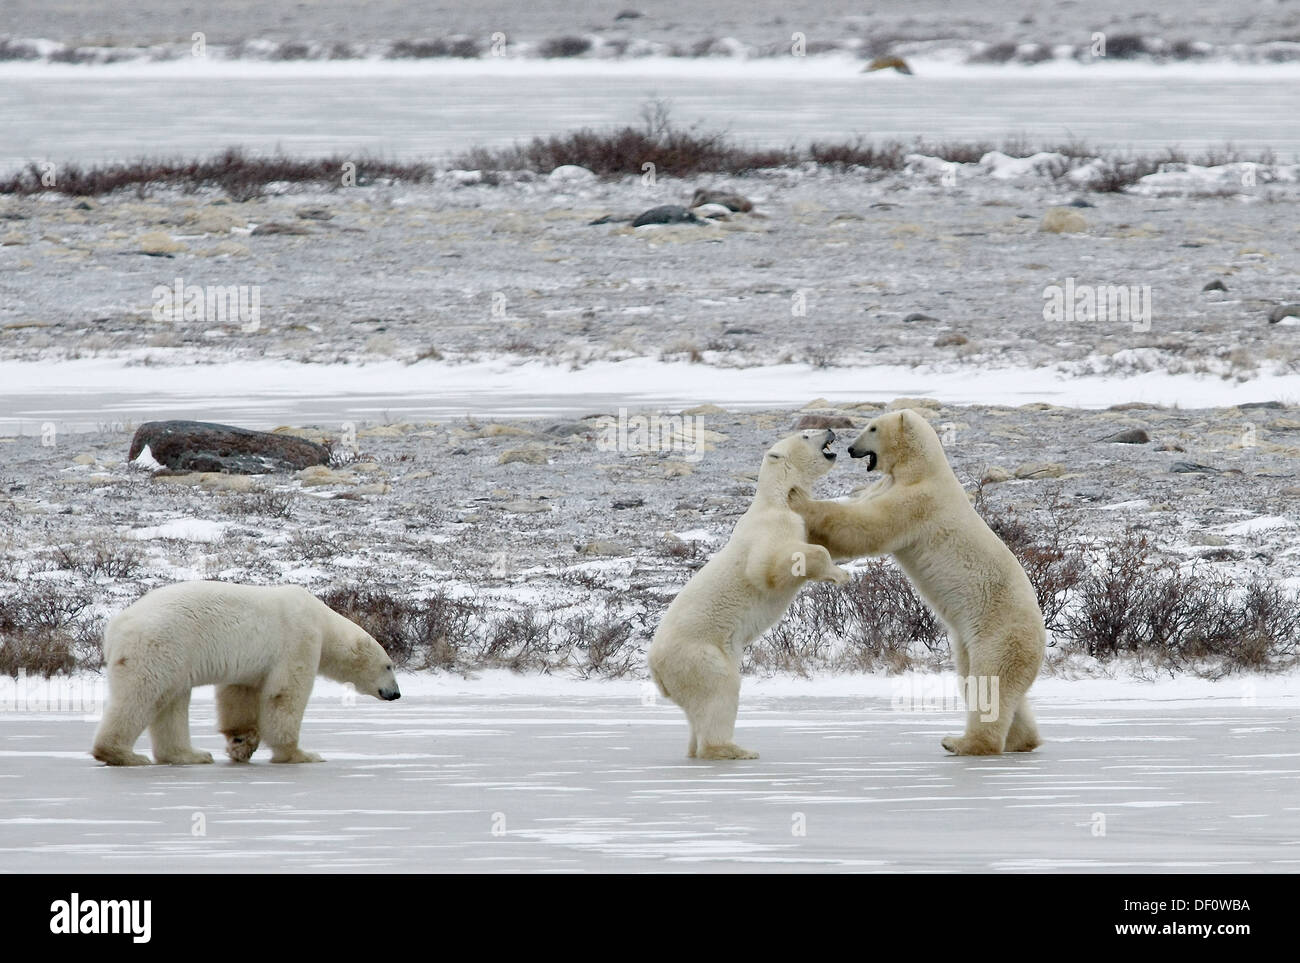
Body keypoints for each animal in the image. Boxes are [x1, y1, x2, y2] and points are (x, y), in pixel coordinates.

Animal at [91, 581, 400, 766]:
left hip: (174, 657)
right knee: (142, 696)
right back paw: (123, 754)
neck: (322, 621)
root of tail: (115, 626)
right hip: (161, 645)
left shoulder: (251, 664)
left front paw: (241, 743)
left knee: (171, 701)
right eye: (389, 665)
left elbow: (239, 694)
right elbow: (285, 694)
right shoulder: (299, 640)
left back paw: (191, 755)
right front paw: (301, 754)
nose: (396, 693)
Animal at [648, 429, 849, 760]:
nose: (830, 430)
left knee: (696, 711)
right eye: (806, 434)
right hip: (699, 654)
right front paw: (838, 573)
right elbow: (768, 568)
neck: (777, 499)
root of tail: (656, 670)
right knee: (720, 690)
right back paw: (732, 749)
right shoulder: (770, 530)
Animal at [789, 409, 1044, 755]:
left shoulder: (918, 502)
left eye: (872, 428)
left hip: (1001, 633)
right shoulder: (888, 485)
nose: (851, 449)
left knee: (990, 683)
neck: (921, 469)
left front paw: (798, 499)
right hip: (972, 642)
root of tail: (1041, 636)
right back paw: (1022, 740)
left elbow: (865, 525)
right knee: (981, 681)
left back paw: (963, 743)